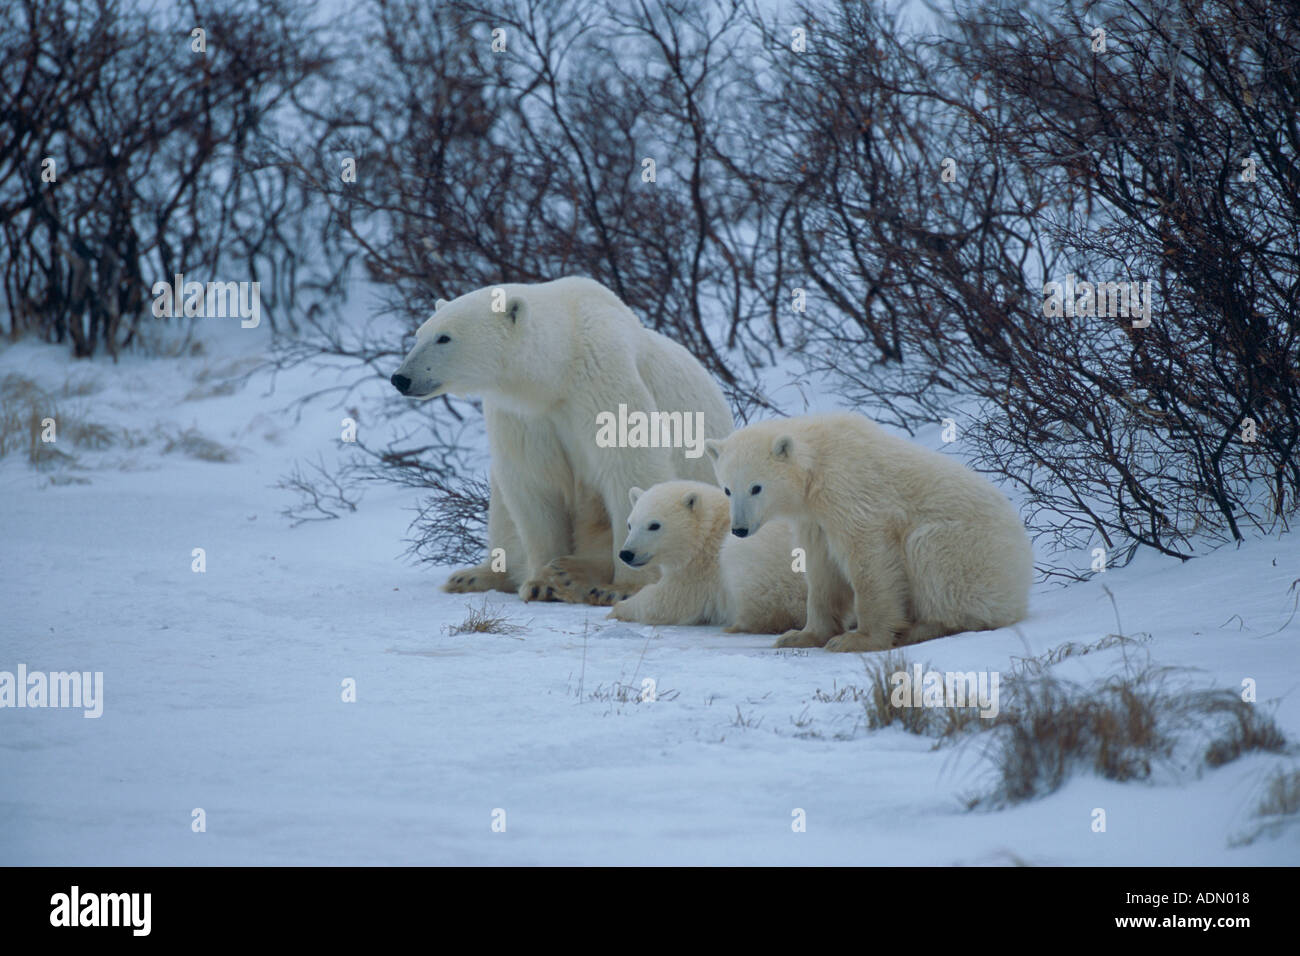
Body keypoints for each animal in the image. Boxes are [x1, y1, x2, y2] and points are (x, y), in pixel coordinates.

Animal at [390, 277, 734, 603]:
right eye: (419, 334)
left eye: (444, 337)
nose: (400, 378)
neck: (561, 367)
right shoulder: (523, 416)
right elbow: (533, 483)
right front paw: (541, 582)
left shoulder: (604, 378)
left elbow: (629, 463)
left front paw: (621, 588)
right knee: (501, 510)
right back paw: (475, 576)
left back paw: (575, 572)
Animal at [603, 481, 807, 632]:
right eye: (630, 524)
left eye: (654, 525)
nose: (626, 553)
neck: (708, 531)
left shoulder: (702, 568)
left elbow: (669, 600)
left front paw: (618, 608)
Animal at [703, 411, 1033, 652]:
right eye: (728, 489)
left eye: (756, 487)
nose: (740, 529)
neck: (818, 465)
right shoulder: (815, 519)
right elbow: (822, 570)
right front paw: (799, 635)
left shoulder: (851, 492)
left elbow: (870, 559)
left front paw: (857, 639)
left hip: (974, 553)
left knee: (931, 555)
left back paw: (919, 629)